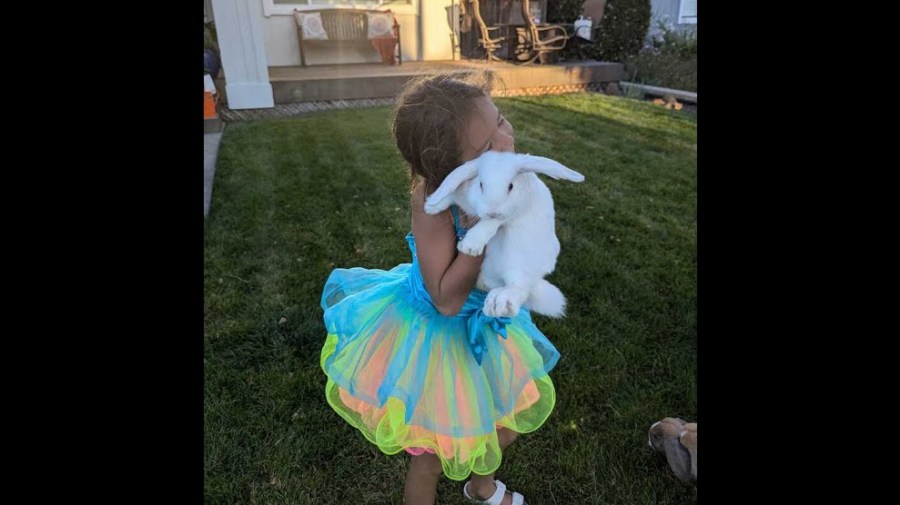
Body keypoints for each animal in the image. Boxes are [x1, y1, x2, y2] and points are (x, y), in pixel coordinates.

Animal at [423, 150, 585, 318]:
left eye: (510, 186)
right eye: (481, 184)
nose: (492, 211)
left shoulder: (511, 212)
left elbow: (490, 224)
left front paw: (469, 246)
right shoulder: (464, 196)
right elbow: (451, 193)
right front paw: (431, 206)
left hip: (518, 262)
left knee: (519, 289)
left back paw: (499, 303)